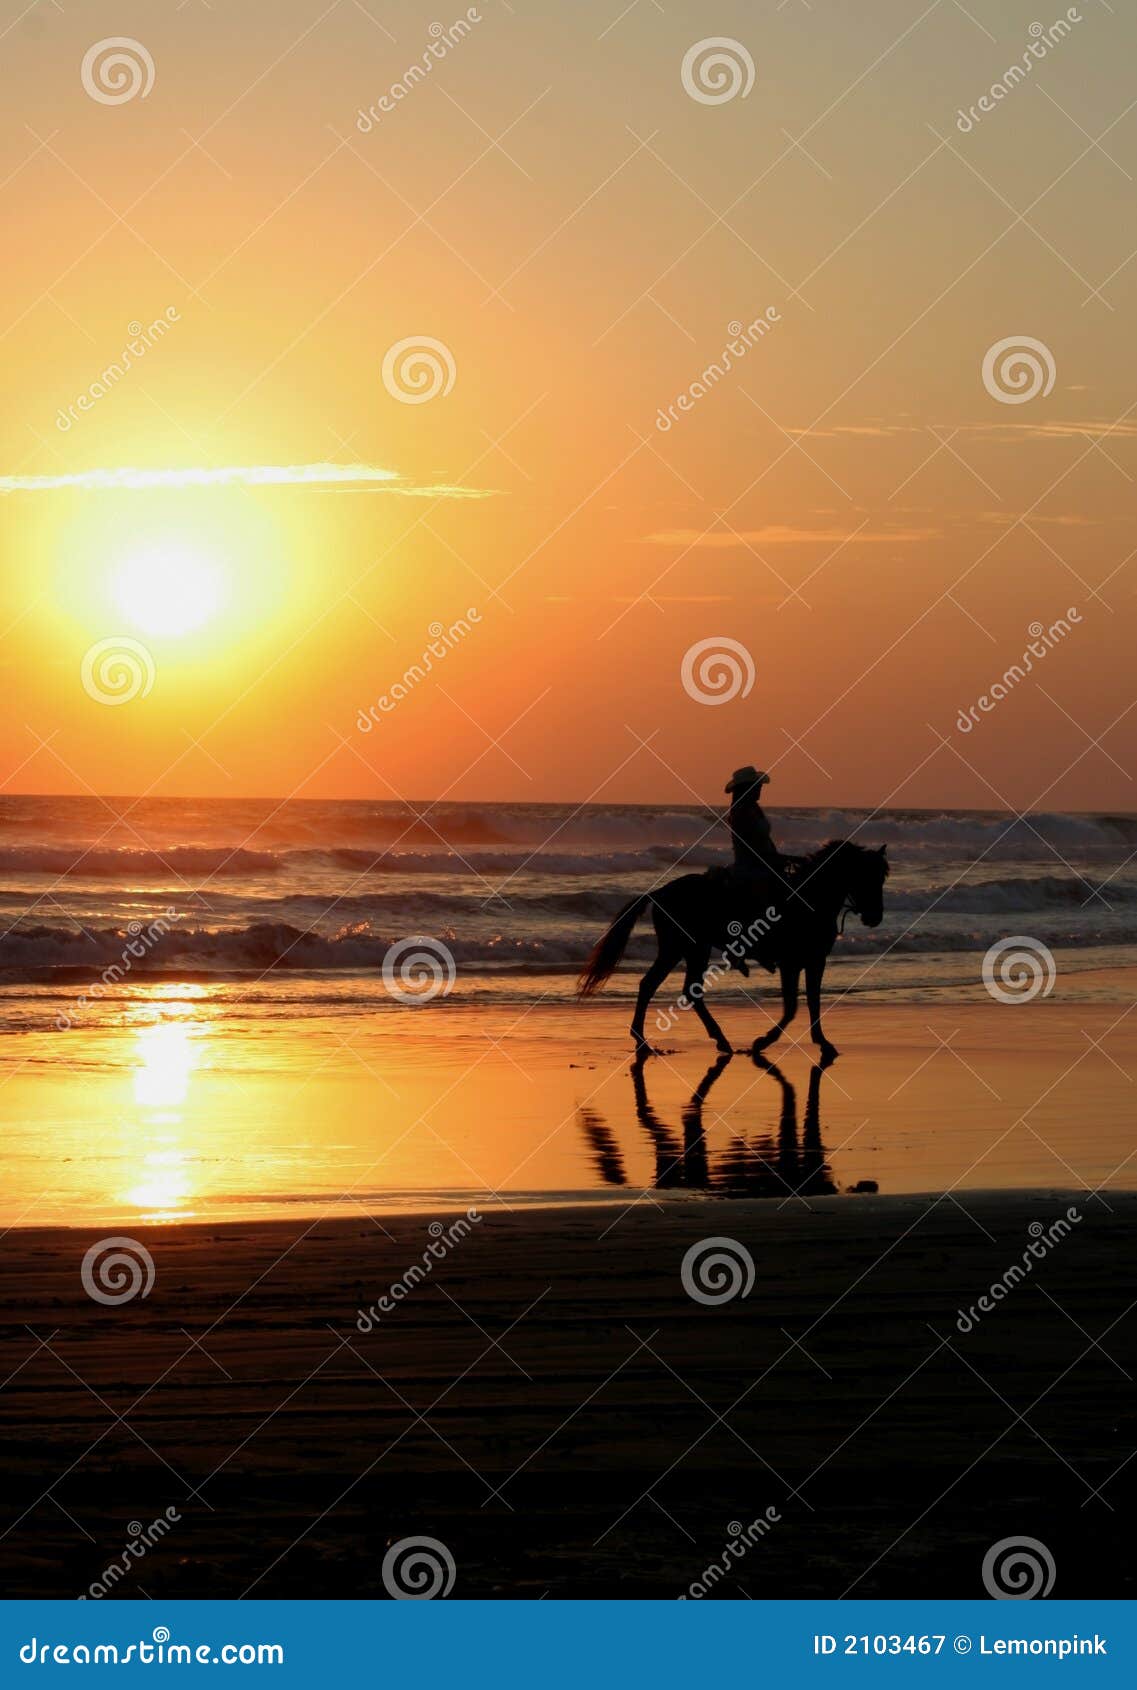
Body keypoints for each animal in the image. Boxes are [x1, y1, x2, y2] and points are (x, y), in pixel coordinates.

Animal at [577, 840, 889, 1062]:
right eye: (866, 876)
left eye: (882, 878)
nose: (875, 917)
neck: (809, 900)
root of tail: (659, 892)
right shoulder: (792, 964)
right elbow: (793, 1007)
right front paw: (762, 1042)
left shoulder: (814, 961)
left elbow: (813, 1003)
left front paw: (822, 1043)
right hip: (688, 948)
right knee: (673, 988)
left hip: (684, 950)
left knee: (662, 986)